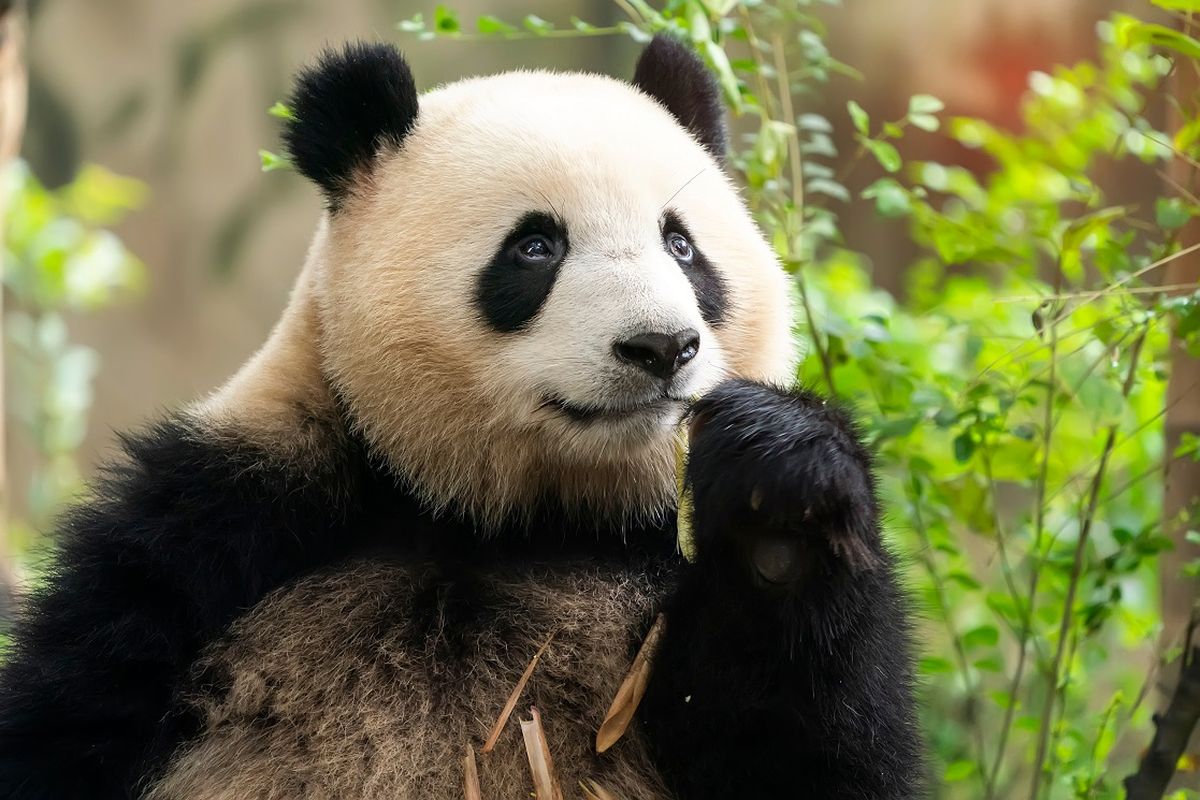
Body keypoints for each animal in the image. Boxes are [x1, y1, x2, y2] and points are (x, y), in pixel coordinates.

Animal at [0, 37, 921, 799]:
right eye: (536, 247)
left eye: (682, 245)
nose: (662, 347)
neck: (504, 516)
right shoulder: (222, 521)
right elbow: (70, 718)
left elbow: (813, 754)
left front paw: (780, 501)